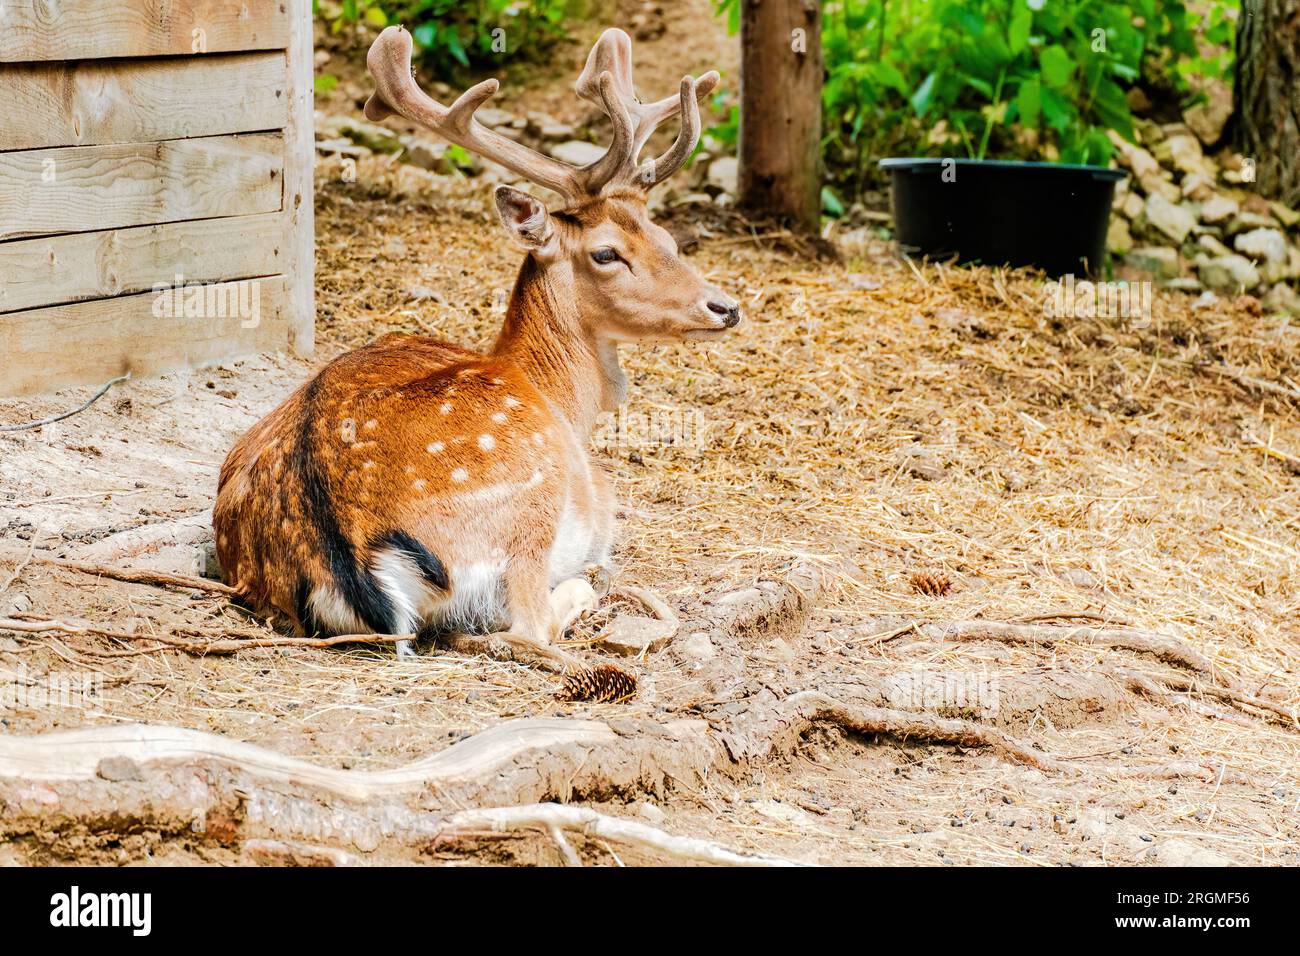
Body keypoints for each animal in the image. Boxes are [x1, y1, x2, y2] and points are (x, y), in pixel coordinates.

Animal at [212, 26, 740, 659]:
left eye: (666, 238)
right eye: (607, 253)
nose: (725, 306)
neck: (561, 396)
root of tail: (352, 565)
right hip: (529, 511)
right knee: (530, 624)